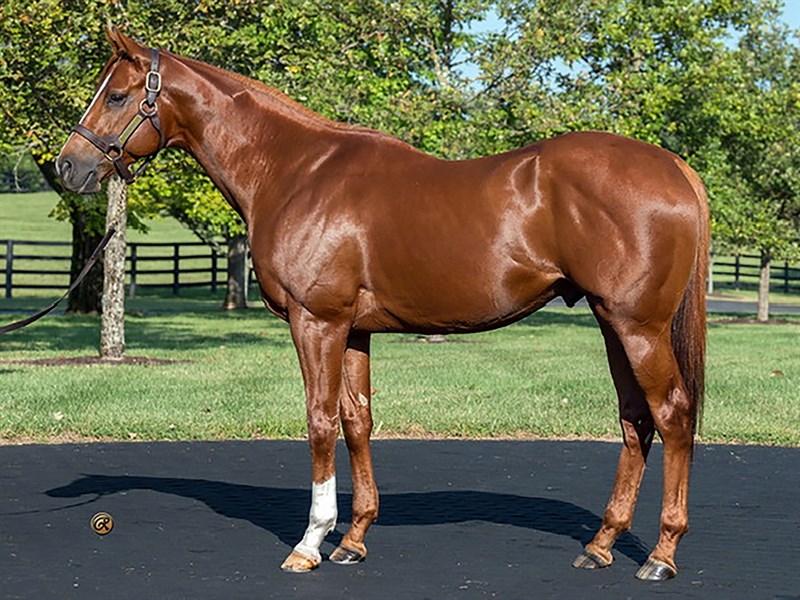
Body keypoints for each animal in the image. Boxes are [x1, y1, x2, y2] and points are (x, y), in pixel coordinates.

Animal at [57, 26, 708, 581]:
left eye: (116, 95)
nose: (69, 166)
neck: (294, 171)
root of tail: (673, 165)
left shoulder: (315, 322)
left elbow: (320, 422)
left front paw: (310, 542)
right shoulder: (353, 330)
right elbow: (357, 421)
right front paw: (352, 540)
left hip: (638, 326)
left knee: (673, 415)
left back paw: (660, 554)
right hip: (611, 322)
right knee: (635, 420)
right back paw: (601, 545)